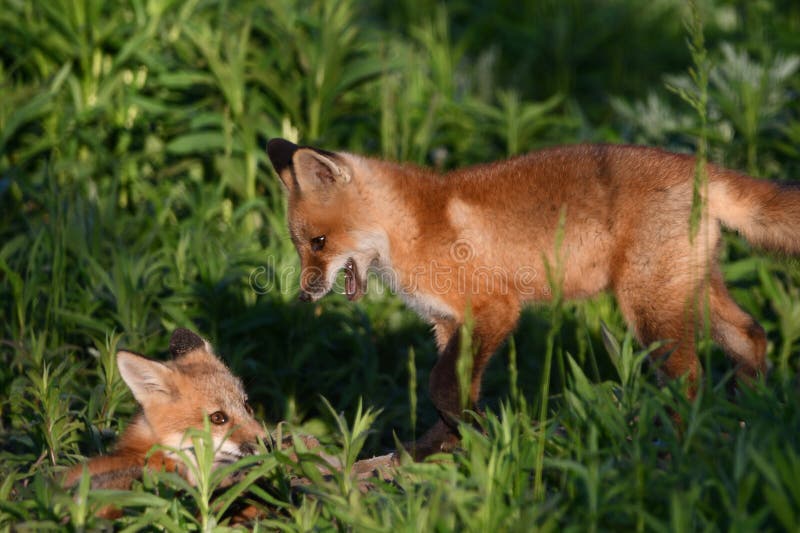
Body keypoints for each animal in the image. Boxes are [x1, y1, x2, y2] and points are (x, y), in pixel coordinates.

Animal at [267, 139, 800, 458]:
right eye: (299, 245)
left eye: (318, 243)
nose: (305, 294)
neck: (412, 227)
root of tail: (697, 166)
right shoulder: (448, 324)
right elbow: (453, 390)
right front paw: (442, 446)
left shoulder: (496, 310)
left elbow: (442, 387)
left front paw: (476, 435)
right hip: (692, 293)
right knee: (752, 335)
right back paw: (750, 417)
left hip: (652, 310)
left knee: (689, 378)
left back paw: (676, 441)